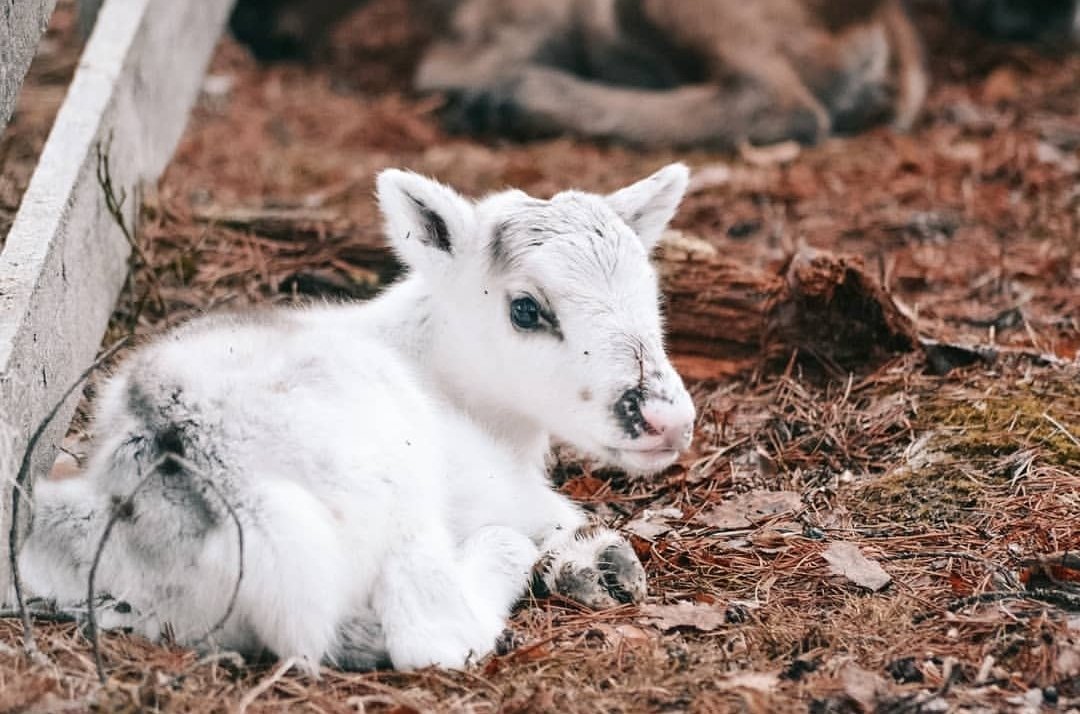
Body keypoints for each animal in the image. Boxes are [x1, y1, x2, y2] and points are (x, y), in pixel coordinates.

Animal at [16, 164, 697, 673]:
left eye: (651, 292)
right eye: (526, 309)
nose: (667, 420)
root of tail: (201, 466)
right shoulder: (488, 478)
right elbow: (555, 516)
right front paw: (593, 561)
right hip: (396, 482)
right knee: (434, 632)